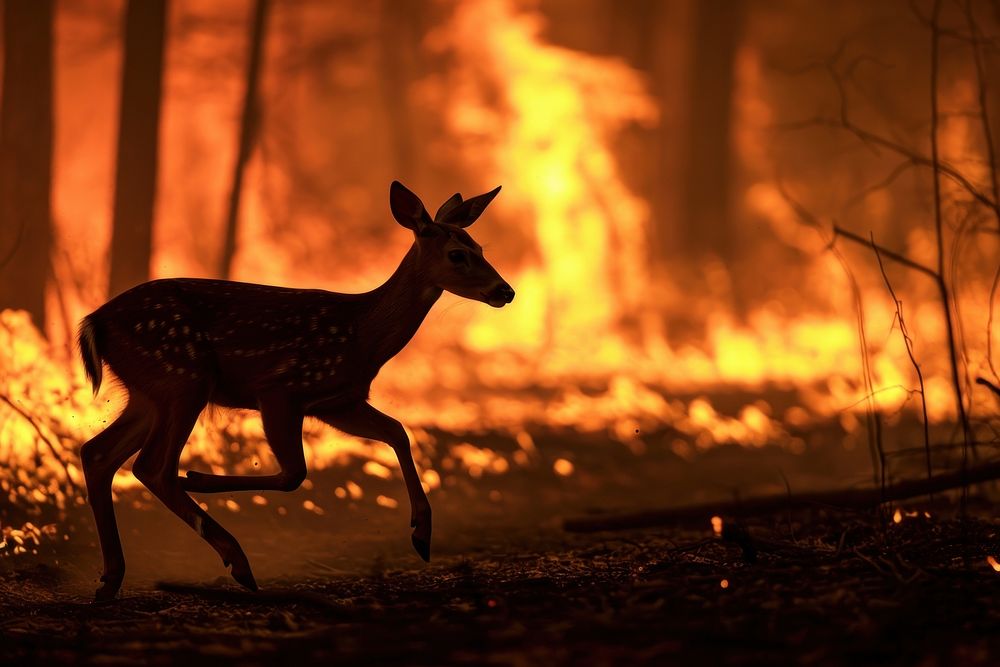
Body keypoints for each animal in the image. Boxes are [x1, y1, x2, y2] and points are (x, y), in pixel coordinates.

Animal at [77, 181, 513, 601]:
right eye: (458, 254)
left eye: (479, 248)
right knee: (154, 467)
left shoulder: (339, 401)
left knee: (98, 453)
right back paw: (235, 558)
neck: (363, 337)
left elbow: (397, 432)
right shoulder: (281, 389)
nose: (505, 291)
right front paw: (199, 477)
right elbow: (295, 473)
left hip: (149, 392)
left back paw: (110, 581)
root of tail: (94, 322)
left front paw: (421, 535)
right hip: (183, 377)